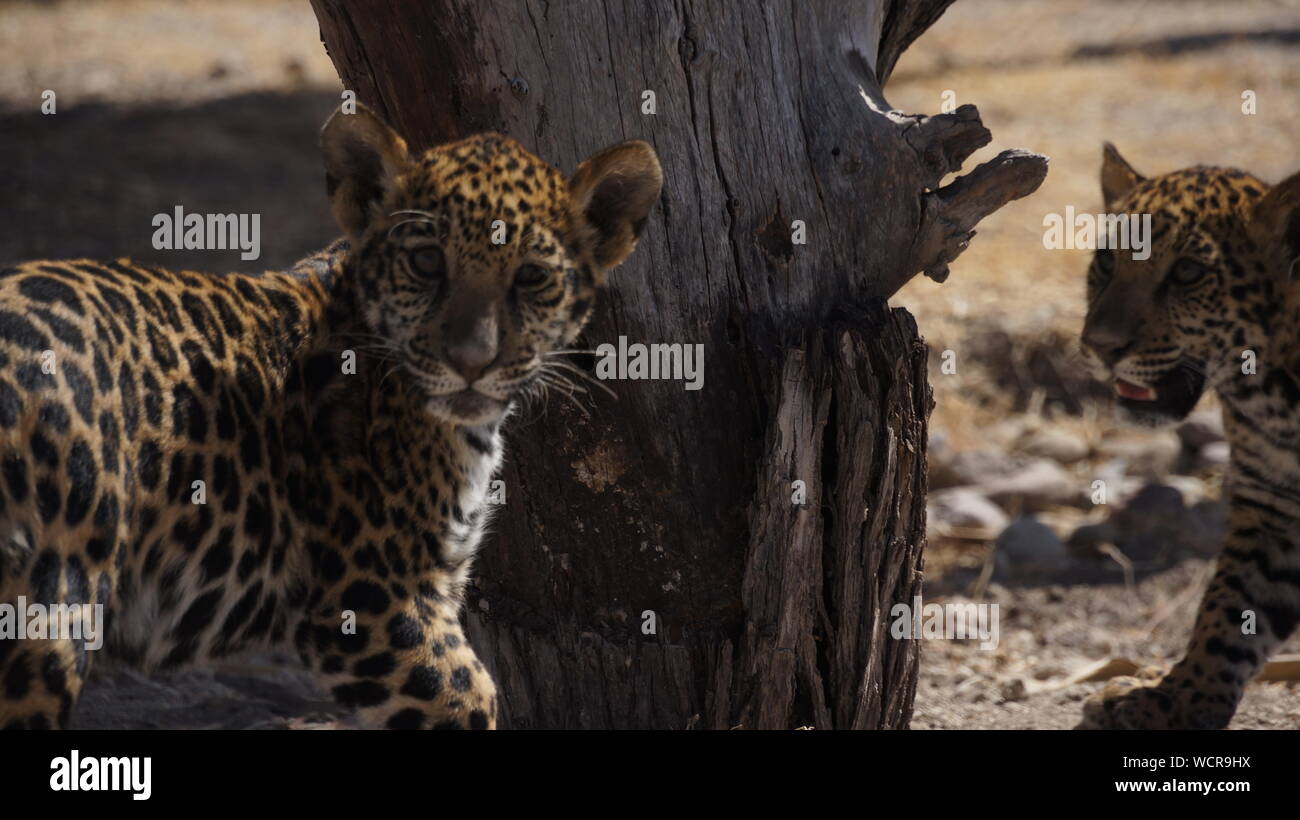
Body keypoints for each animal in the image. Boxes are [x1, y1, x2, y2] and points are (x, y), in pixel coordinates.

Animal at [0, 103, 662, 729]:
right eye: (427, 262)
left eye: (531, 276)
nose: (471, 361)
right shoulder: (379, 602)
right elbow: (472, 697)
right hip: (49, 608)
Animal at [1077, 142, 1300, 728]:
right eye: (1106, 259)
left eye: (1187, 272)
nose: (1100, 346)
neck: (1271, 395)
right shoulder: (1274, 504)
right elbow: (1231, 606)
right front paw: (1177, 695)